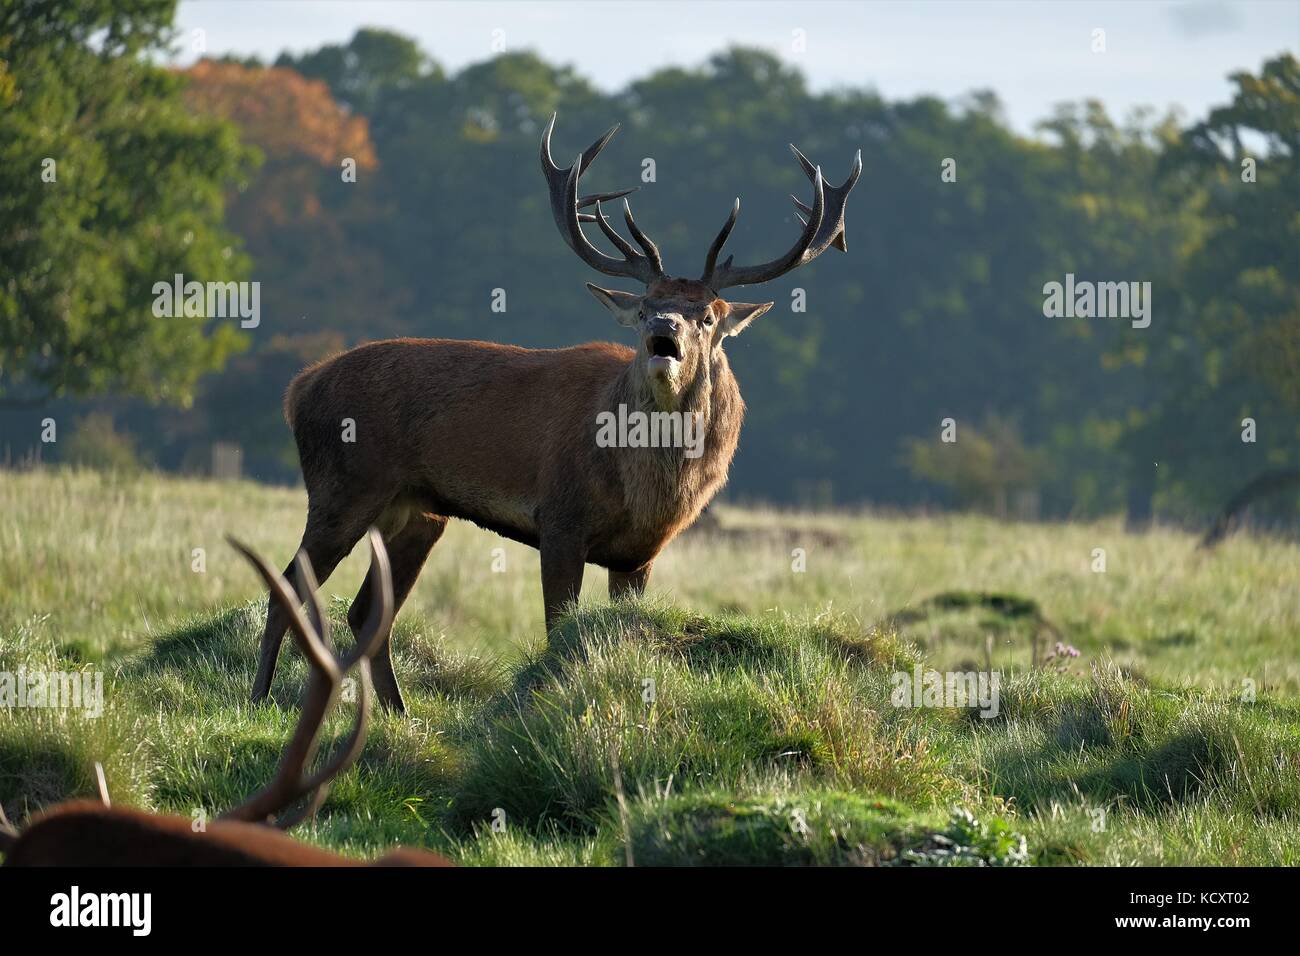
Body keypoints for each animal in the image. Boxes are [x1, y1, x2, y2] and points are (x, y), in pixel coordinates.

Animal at [249, 113, 860, 712]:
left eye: (708, 316)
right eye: (645, 307)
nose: (664, 331)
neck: (647, 488)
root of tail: (298, 389)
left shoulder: (639, 554)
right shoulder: (560, 519)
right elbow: (556, 630)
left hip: (416, 512)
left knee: (365, 612)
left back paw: (399, 714)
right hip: (343, 488)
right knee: (288, 588)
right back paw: (260, 699)